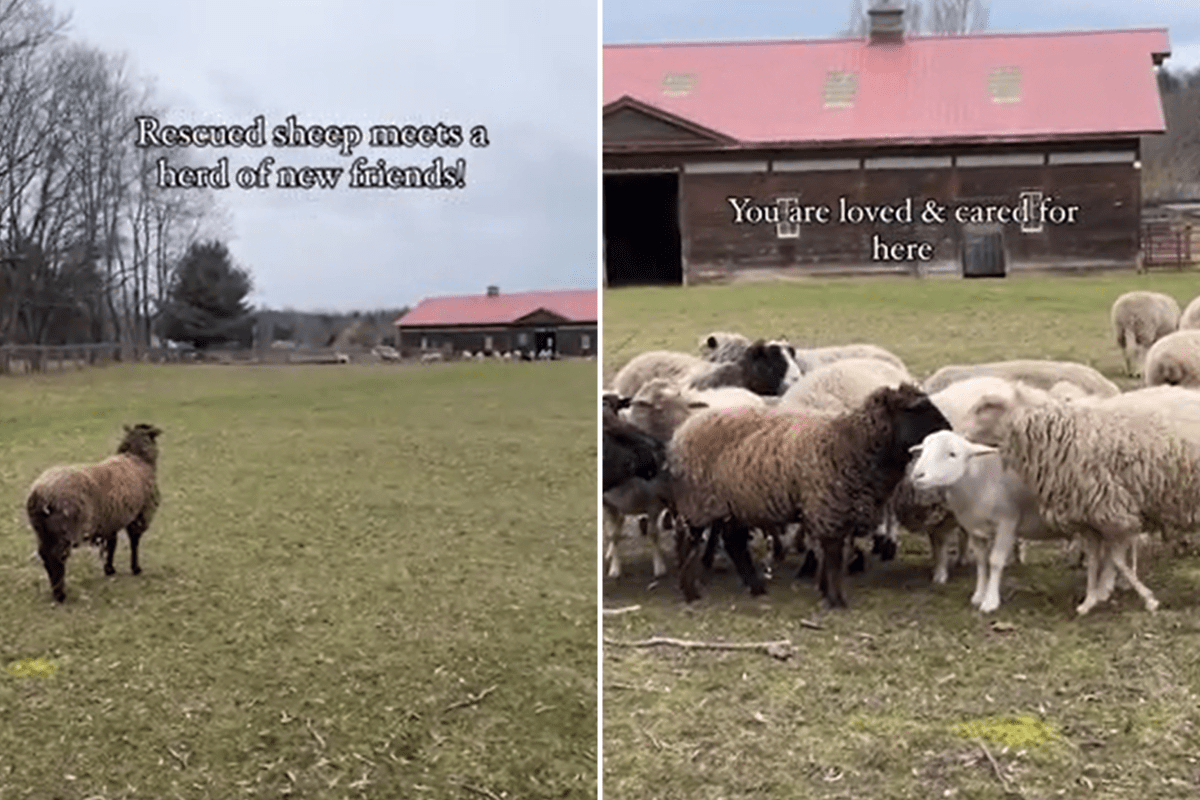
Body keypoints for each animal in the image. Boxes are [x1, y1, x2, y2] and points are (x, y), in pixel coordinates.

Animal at [26, 424, 162, 603]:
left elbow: (111, 544)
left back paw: (56, 590)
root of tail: (39, 493)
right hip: (63, 531)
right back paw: (60, 594)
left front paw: (109, 568)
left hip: (43, 532)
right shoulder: (140, 515)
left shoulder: (110, 520)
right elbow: (134, 543)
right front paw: (136, 568)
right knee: (56, 557)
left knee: (45, 555)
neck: (136, 458)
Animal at [669, 384, 951, 607]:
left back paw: (755, 587)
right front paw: (836, 600)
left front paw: (826, 591)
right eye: (914, 409)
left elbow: (830, 555)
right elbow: (834, 558)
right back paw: (690, 592)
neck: (851, 444)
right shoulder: (830, 508)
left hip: (737, 502)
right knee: (688, 541)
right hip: (699, 501)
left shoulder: (833, 510)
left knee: (734, 542)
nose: (948, 429)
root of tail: (683, 432)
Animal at [961, 387, 1200, 614]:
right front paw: (1093, 598)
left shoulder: (1110, 509)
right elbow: (1099, 559)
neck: (1061, 433)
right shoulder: (1090, 516)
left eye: (986, 407)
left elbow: (1115, 558)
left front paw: (1140, 596)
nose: (959, 431)